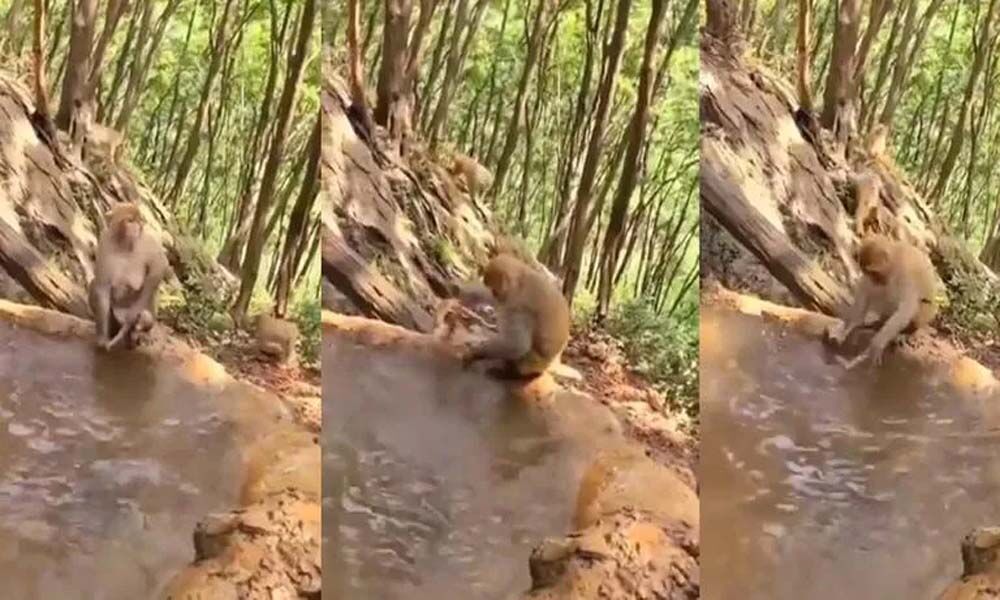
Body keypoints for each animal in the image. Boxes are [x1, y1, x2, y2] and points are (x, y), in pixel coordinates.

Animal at [88, 203, 169, 351]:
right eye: (130, 220)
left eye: (139, 219)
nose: (139, 226)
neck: (123, 244)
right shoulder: (104, 242)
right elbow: (102, 286)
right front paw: (102, 337)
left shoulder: (146, 242)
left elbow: (159, 267)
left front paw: (134, 317)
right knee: (93, 284)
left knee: (148, 308)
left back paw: (140, 331)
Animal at [828, 235, 941, 368]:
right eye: (868, 273)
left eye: (874, 273)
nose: (874, 280)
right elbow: (865, 290)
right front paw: (849, 325)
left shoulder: (904, 276)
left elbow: (906, 309)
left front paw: (878, 343)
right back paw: (876, 322)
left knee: (917, 305)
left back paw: (905, 333)